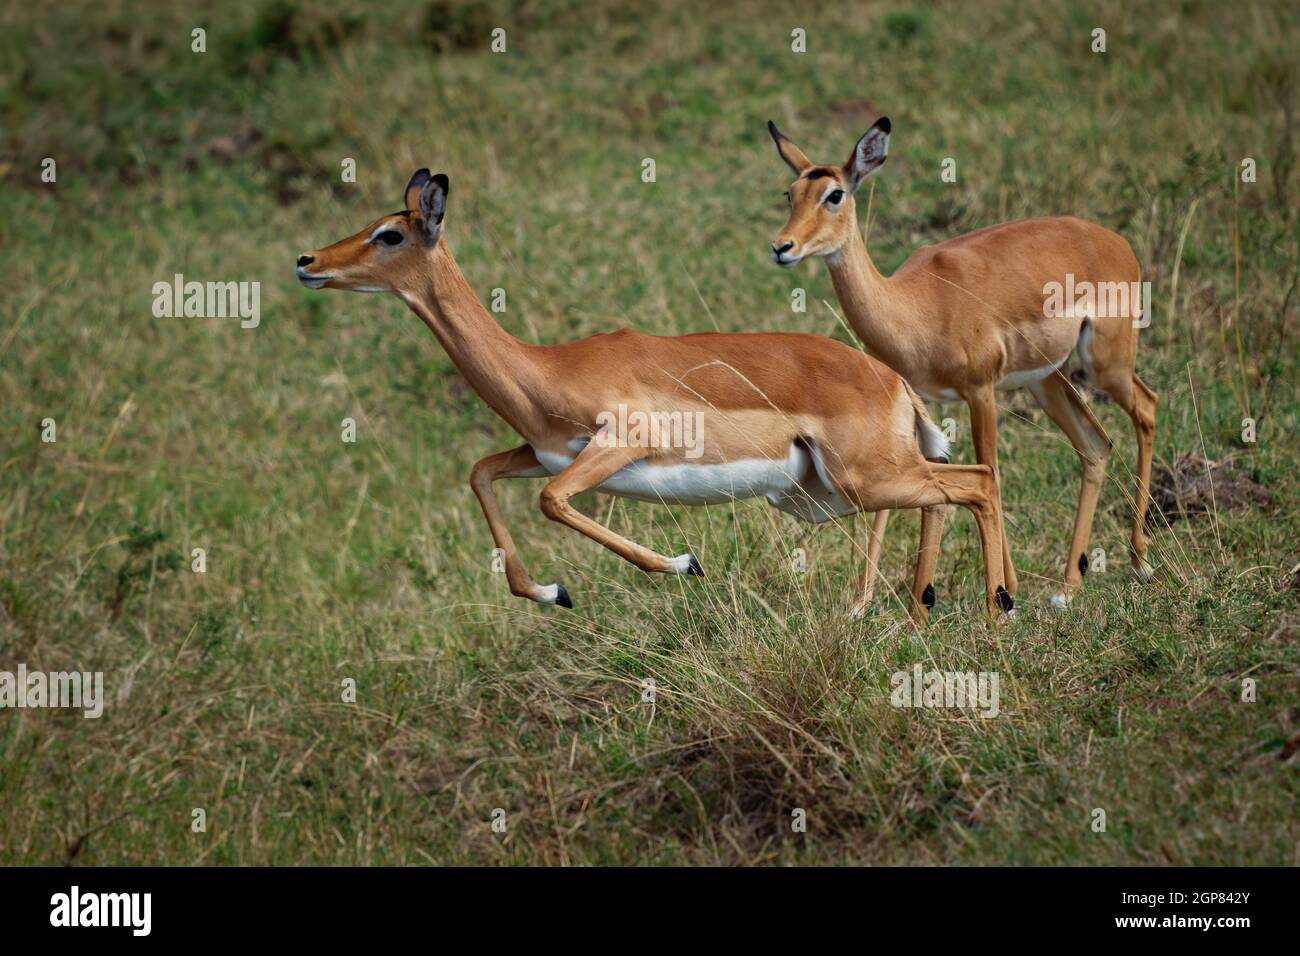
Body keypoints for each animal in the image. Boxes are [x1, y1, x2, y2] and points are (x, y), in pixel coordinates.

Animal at [295, 168, 1014, 621]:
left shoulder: (619, 445)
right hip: (838, 489)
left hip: (863, 478)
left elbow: (551, 501)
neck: (543, 368)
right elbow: (481, 473)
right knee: (954, 489)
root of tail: (890, 381)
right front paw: (554, 592)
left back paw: (998, 613)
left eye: (390, 233)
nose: (307, 261)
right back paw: (926, 613)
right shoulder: (544, 451)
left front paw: (684, 562)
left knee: (978, 481)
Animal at [767, 117, 1158, 609]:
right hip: (1047, 380)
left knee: (1147, 408)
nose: (782, 247)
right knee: (1096, 444)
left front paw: (1007, 592)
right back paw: (1068, 587)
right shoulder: (923, 401)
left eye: (834, 194)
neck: (916, 305)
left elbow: (991, 470)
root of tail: (1116, 241)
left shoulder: (980, 391)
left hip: (1107, 362)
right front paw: (862, 603)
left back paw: (1140, 562)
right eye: (790, 193)